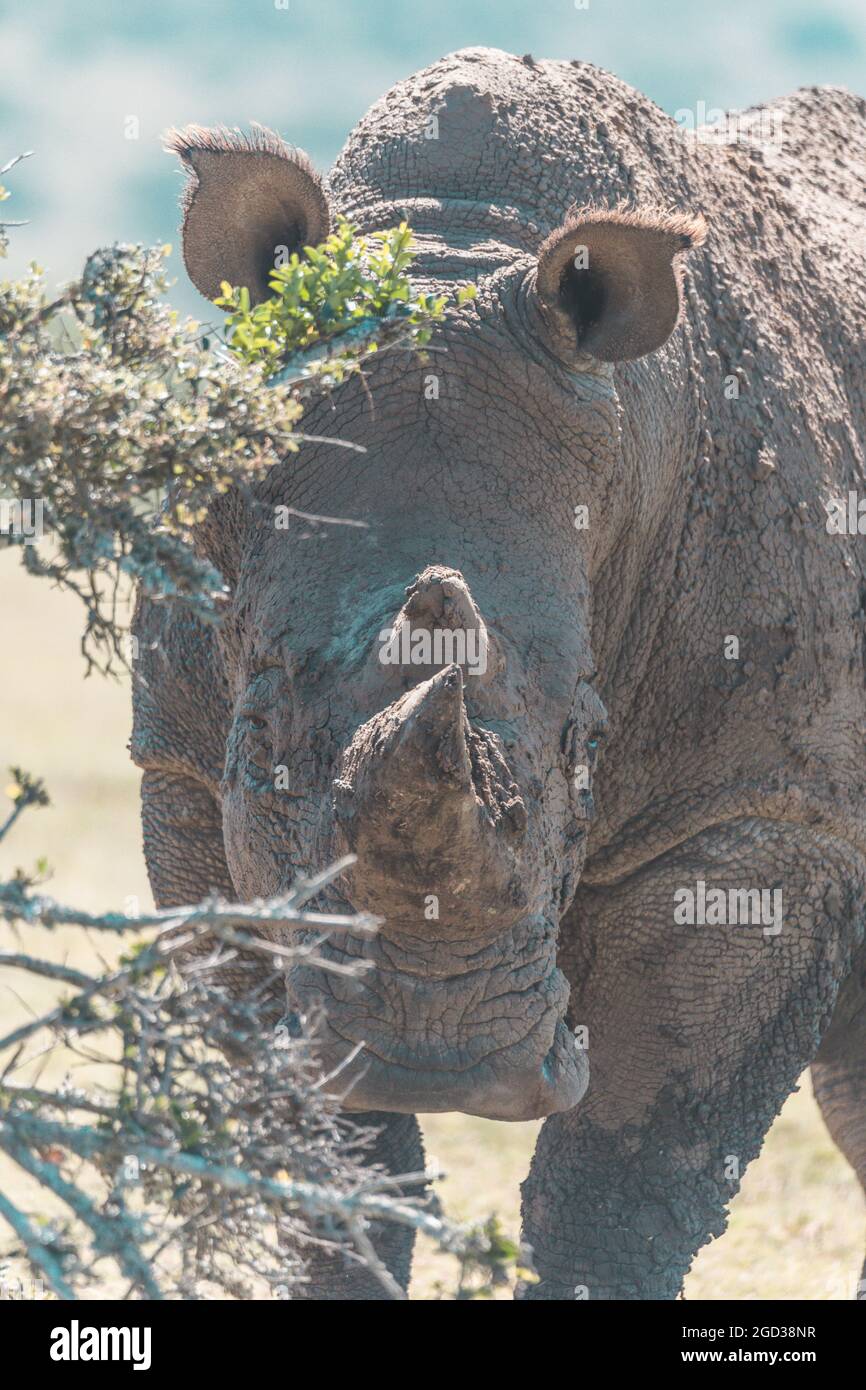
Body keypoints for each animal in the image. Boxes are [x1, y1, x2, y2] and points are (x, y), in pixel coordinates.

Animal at [131, 47, 866, 1299]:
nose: (437, 1064)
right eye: (258, 735)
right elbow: (323, 1160)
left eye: (585, 742)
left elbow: (629, 1176)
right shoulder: (179, 767)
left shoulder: (758, 805)